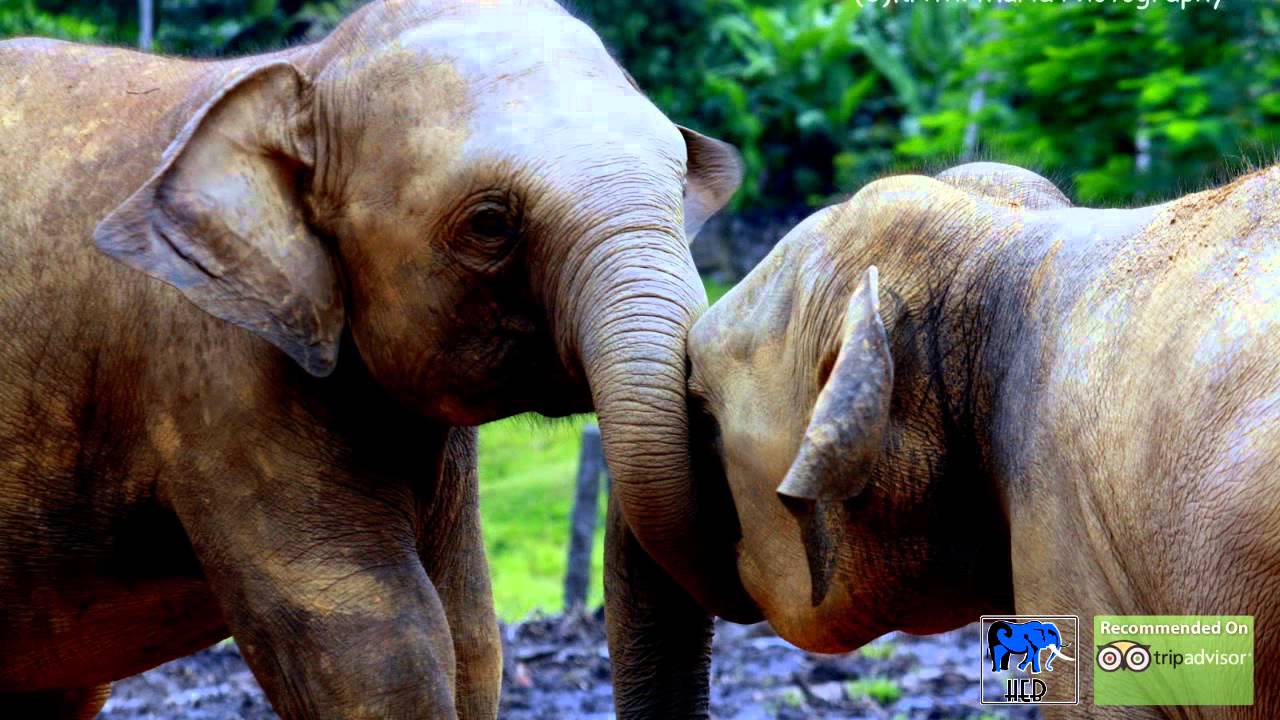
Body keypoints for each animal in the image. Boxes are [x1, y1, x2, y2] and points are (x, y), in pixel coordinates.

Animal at [0, 1, 758, 718]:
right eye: (490, 224)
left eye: (679, 184)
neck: (306, 71)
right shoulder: (217, 374)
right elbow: (377, 646)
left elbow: (469, 635)